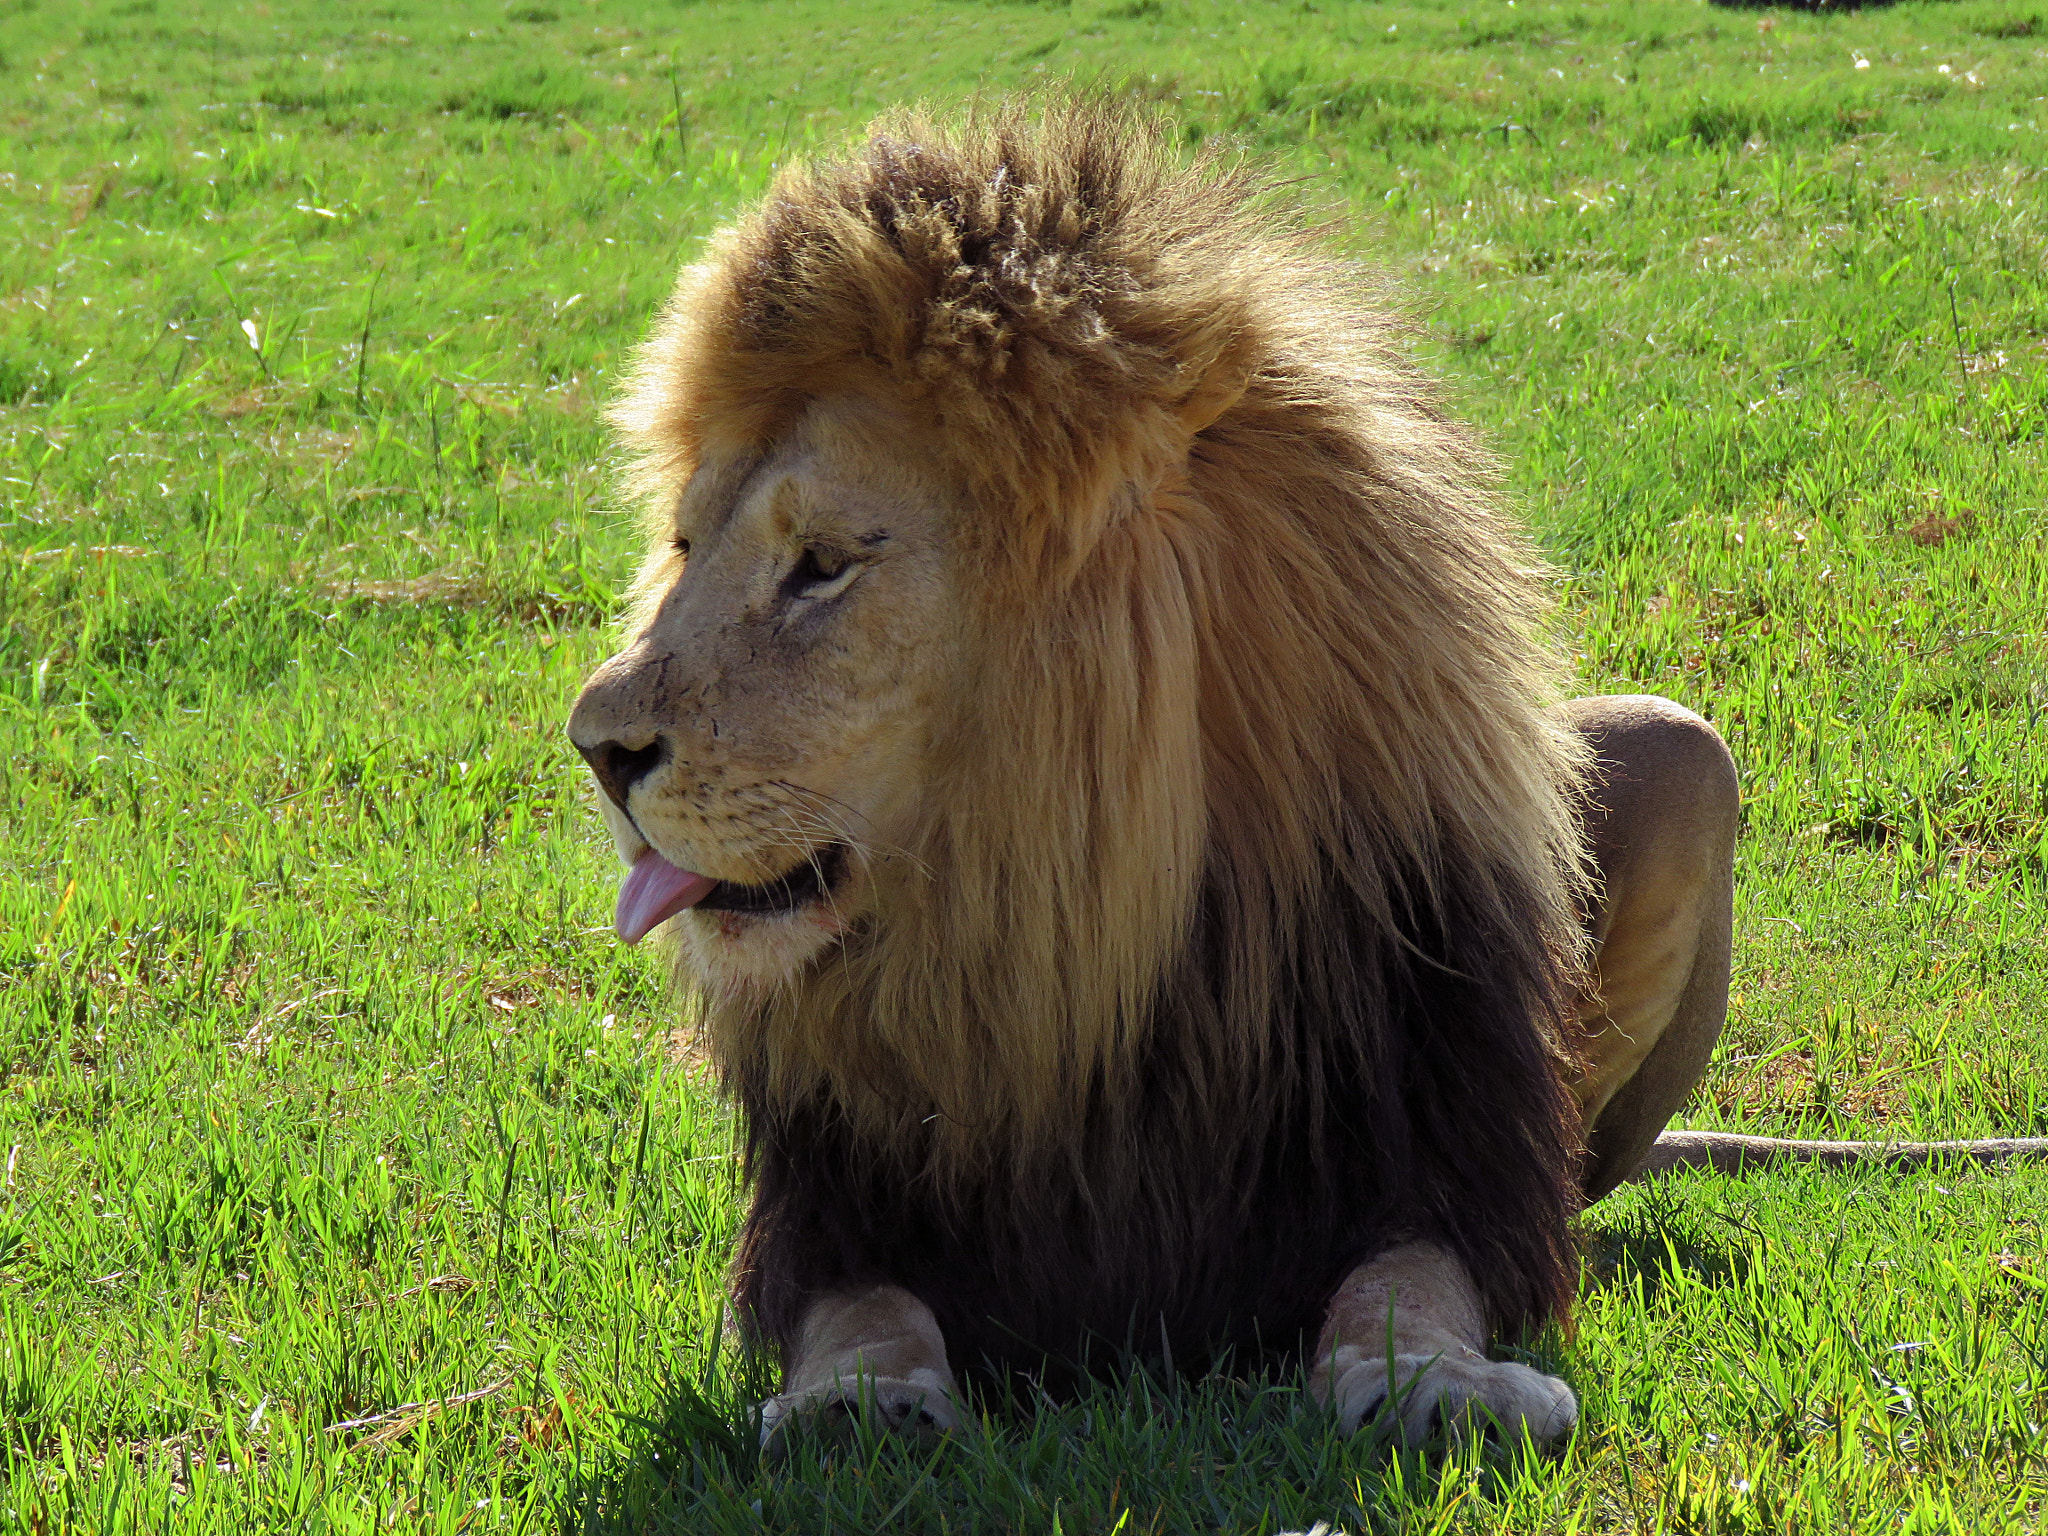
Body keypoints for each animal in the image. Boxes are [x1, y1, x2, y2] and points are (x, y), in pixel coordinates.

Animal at [567, 100, 2047, 1450]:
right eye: (685, 546)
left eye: (822, 562)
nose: (595, 746)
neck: (1052, 933)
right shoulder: (832, 1212)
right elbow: (865, 1316)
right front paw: (853, 1408)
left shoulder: (1432, 1155)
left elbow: (1403, 1294)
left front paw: (1440, 1391)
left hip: (1681, 756)